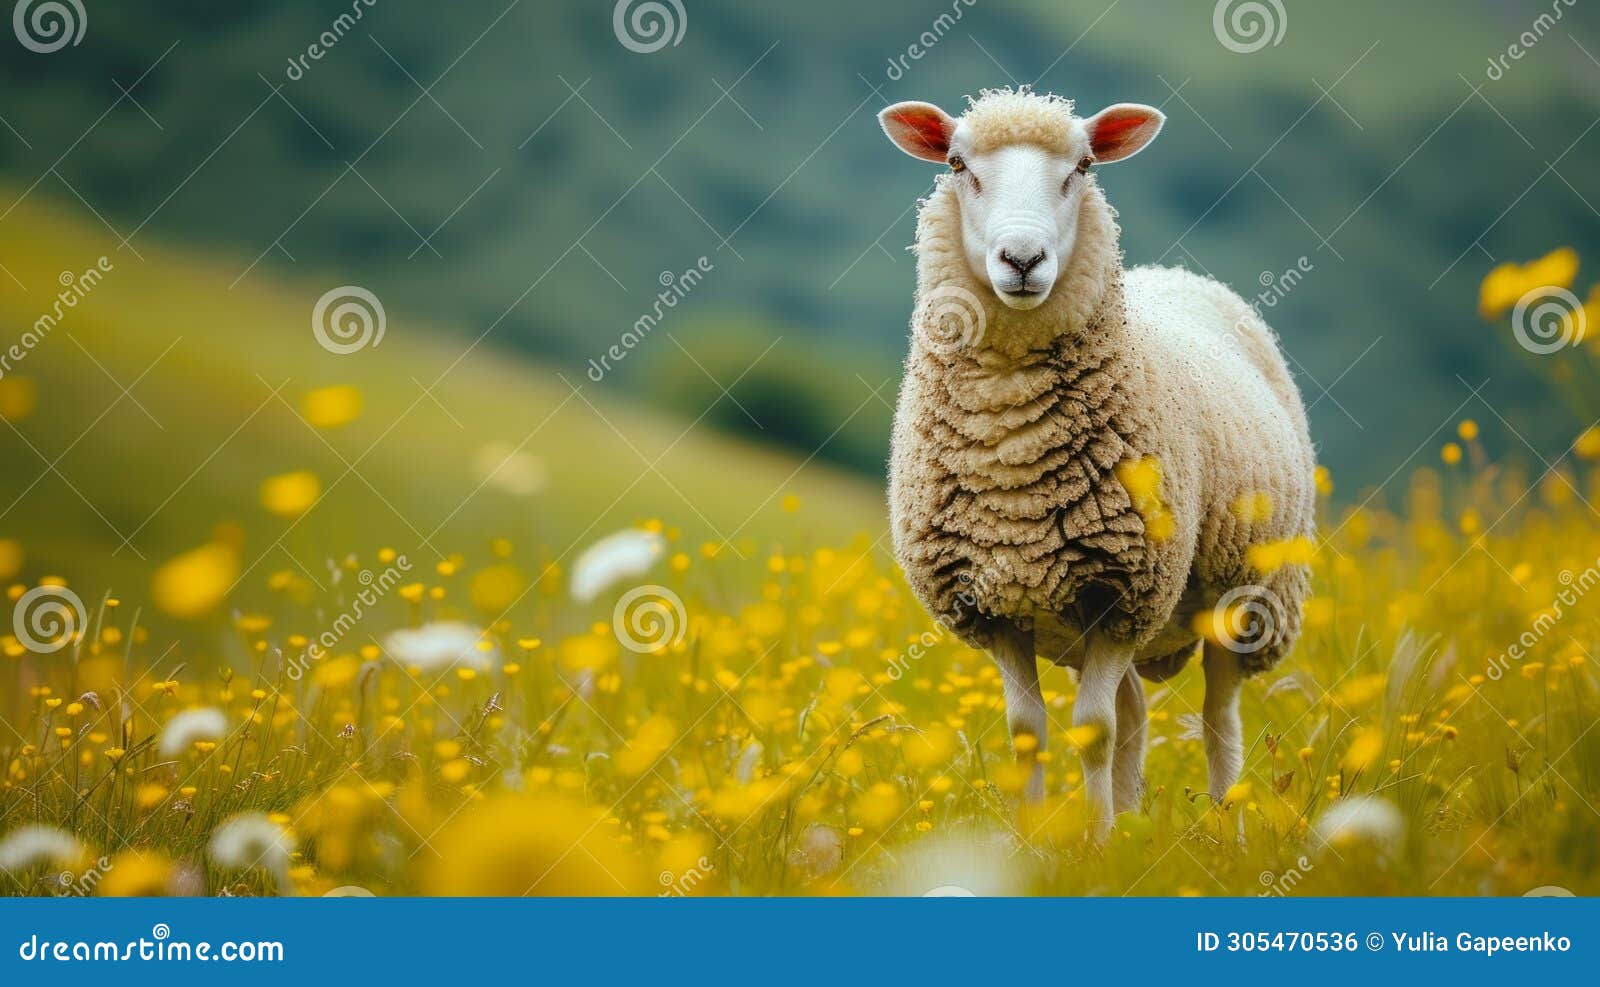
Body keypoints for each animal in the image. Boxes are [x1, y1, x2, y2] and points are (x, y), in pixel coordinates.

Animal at [877, 88, 1316, 839]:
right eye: (958, 164)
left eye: (1082, 167)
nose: (1023, 258)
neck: (1014, 453)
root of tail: (1177, 274)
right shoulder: (996, 604)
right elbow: (1030, 732)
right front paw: (1044, 842)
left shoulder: (1123, 590)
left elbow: (1094, 729)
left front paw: (1094, 841)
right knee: (1137, 707)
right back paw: (1134, 817)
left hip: (1247, 597)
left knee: (1217, 718)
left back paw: (1224, 826)